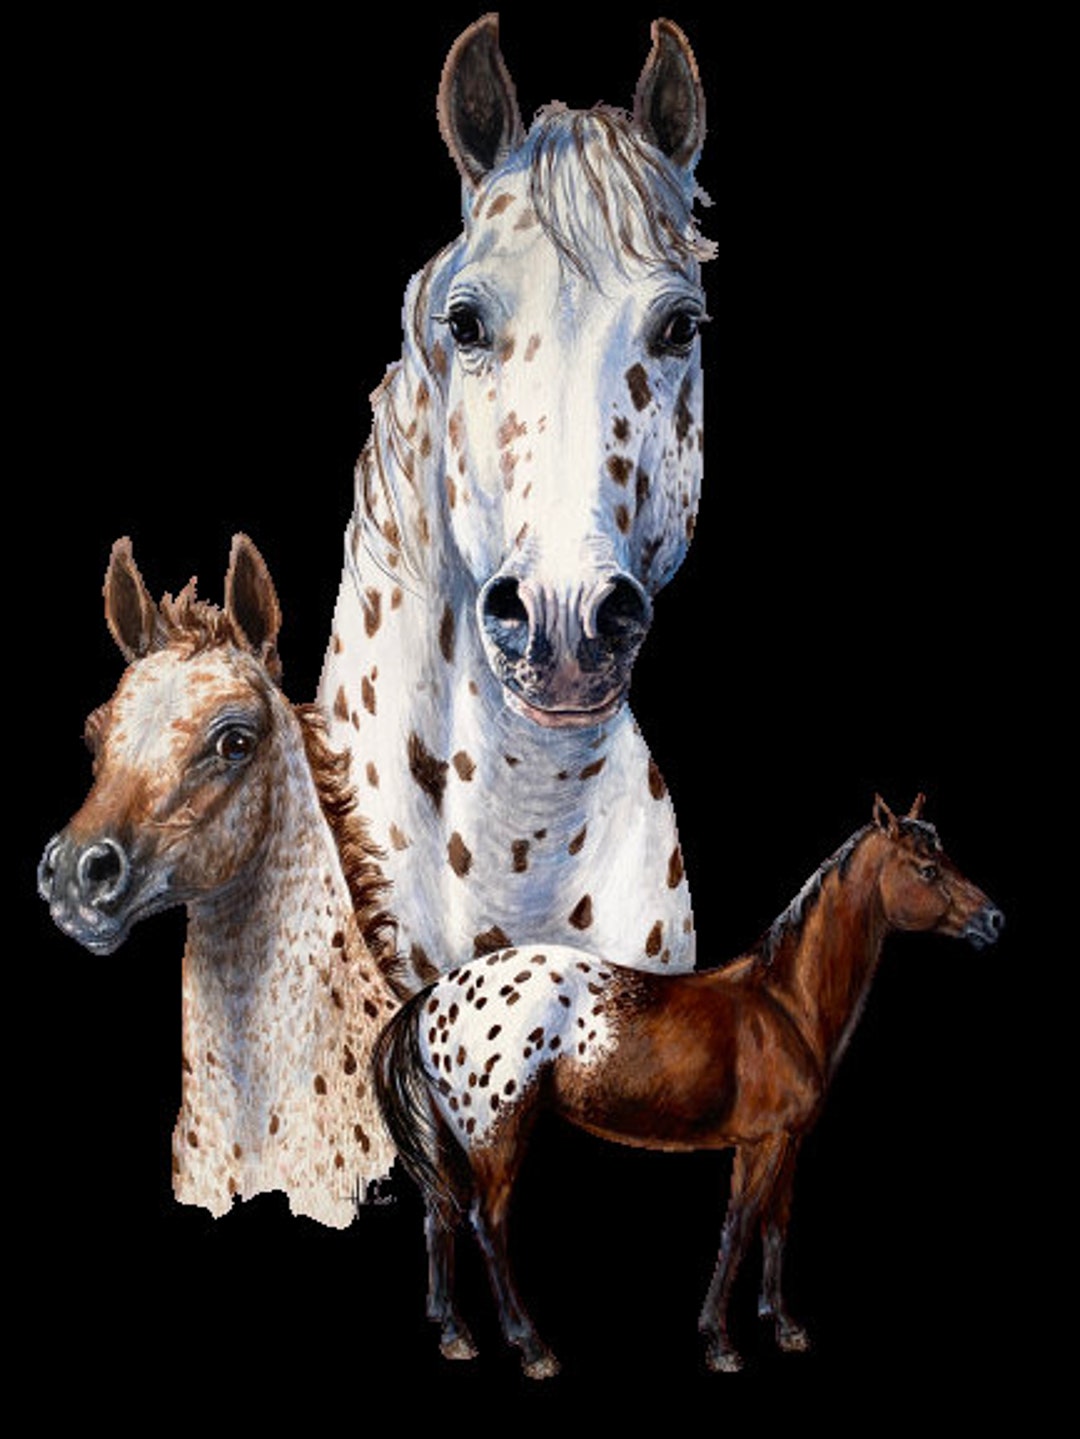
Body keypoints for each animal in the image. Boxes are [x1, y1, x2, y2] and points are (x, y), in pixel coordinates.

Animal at [373, 795, 1004, 1377]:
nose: (994, 920)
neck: (784, 1005)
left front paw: (785, 1326)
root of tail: (434, 994)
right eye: (927, 868)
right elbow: (740, 1228)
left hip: (451, 1138)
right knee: (487, 1223)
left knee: (439, 1214)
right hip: (496, 1136)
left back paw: (454, 1334)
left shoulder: (789, 1144)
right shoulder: (761, 1144)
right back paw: (531, 1347)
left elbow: (776, 1226)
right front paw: (720, 1342)